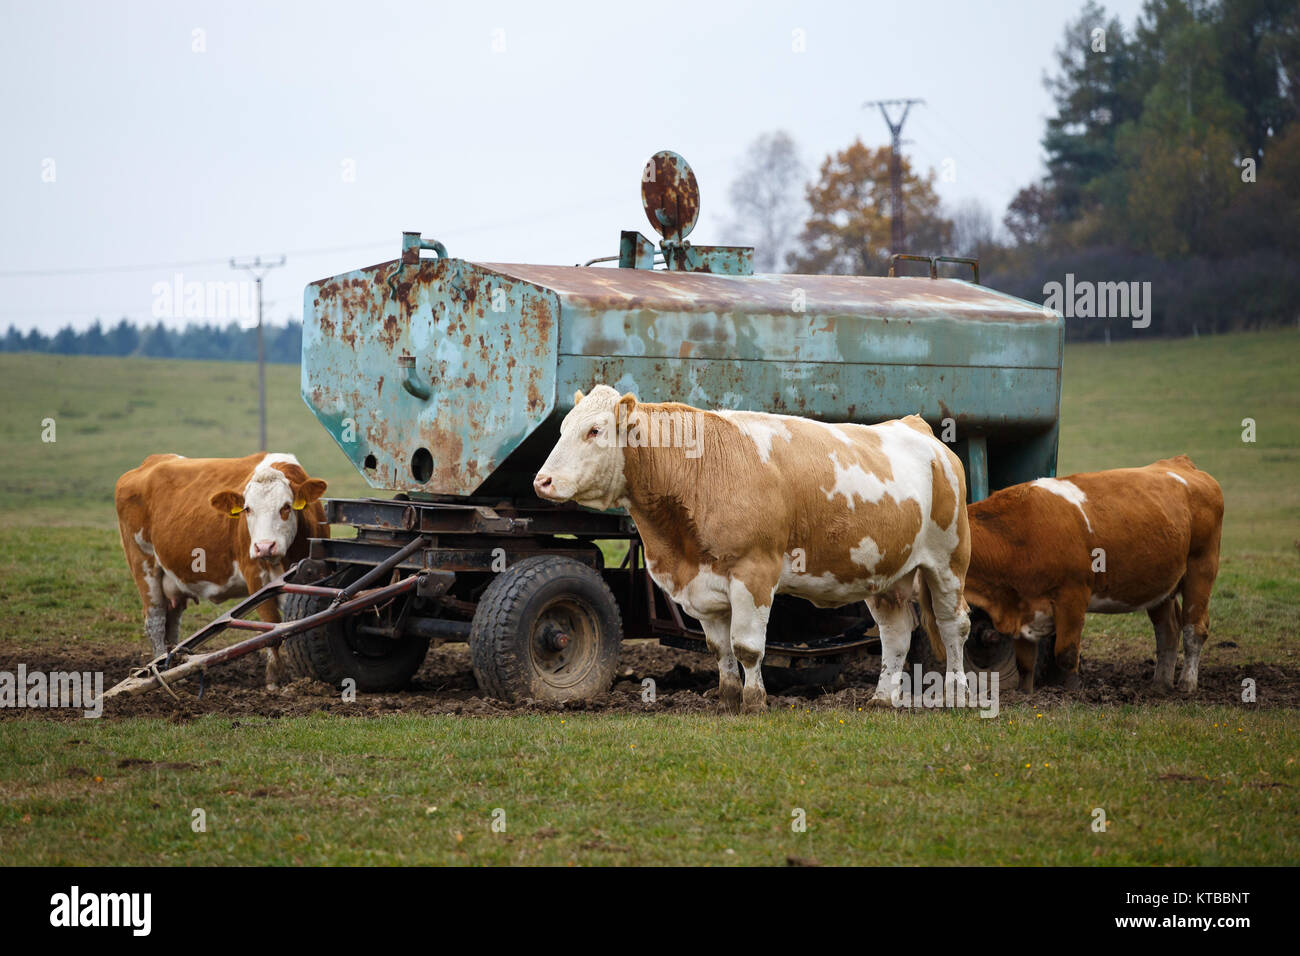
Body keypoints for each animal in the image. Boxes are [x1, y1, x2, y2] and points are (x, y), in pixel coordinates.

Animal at [114, 452, 329, 689]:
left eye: (286, 506)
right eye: (247, 509)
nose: (264, 547)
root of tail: (151, 461)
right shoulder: (256, 575)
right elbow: (271, 623)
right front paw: (275, 679)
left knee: (172, 623)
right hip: (144, 566)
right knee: (156, 621)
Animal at [533, 385, 972, 713]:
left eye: (594, 431)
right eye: (563, 428)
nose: (543, 481)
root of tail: (916, 427)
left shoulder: (754, 571)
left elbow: (746, 646)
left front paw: (755, 702)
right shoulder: (701, 584)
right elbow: (719, 648)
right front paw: (727, 700)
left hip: (949, 562)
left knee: (954, 624)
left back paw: (956, 694)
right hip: (886, 574)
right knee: (896, 634)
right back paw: (883, 699)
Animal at [950, 456, 1223, 693]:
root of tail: (1181, 463)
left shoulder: (1073, 596)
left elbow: (1067, 653)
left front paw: (1072, 691)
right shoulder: (1021, 609)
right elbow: (1025, 663)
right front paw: (1025, 694)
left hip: (1201, 569)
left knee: (1194, 630)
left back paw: (1187, 684)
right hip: (1160, 586)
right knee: (1168, 632)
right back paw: (1160, 685)